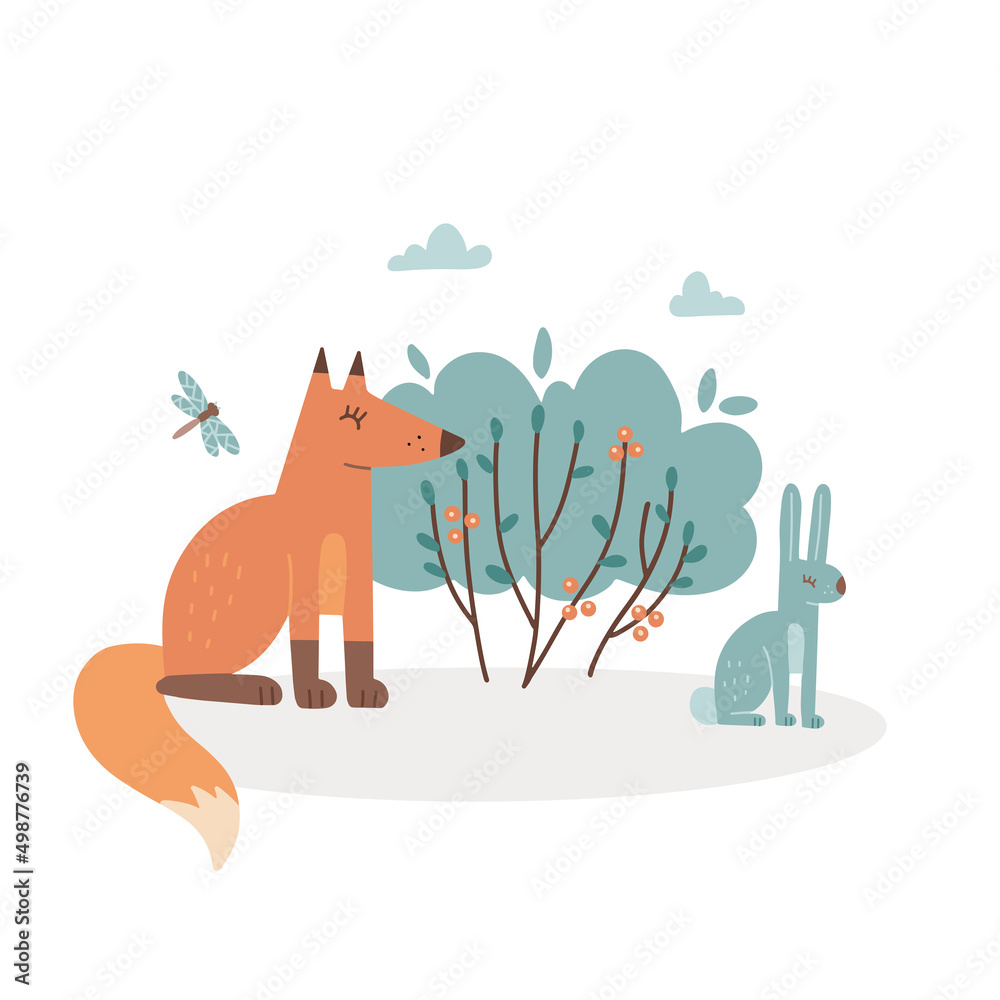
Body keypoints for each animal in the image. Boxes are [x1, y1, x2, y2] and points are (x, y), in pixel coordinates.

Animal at [74, 348, 464, 870]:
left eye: (387, 408)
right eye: (355, 418)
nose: (451, 439)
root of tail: (163, 649)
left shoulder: (360, 590)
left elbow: (360, 645)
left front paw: (362, 692)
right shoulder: (301, 588)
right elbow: (307, 647)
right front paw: (312, 694)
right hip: (256, 610)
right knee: (179, 682)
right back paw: (254, 687)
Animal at [690, 484, 845, 729]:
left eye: (827, 565)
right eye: (808, 579)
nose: (842, 584)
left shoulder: (811, 660)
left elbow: (808, 689)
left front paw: (812, 721)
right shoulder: (777, 658)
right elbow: (783, 689)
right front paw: (785, 721)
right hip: (754, 681)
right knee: (726, 717)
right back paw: (754, 719)